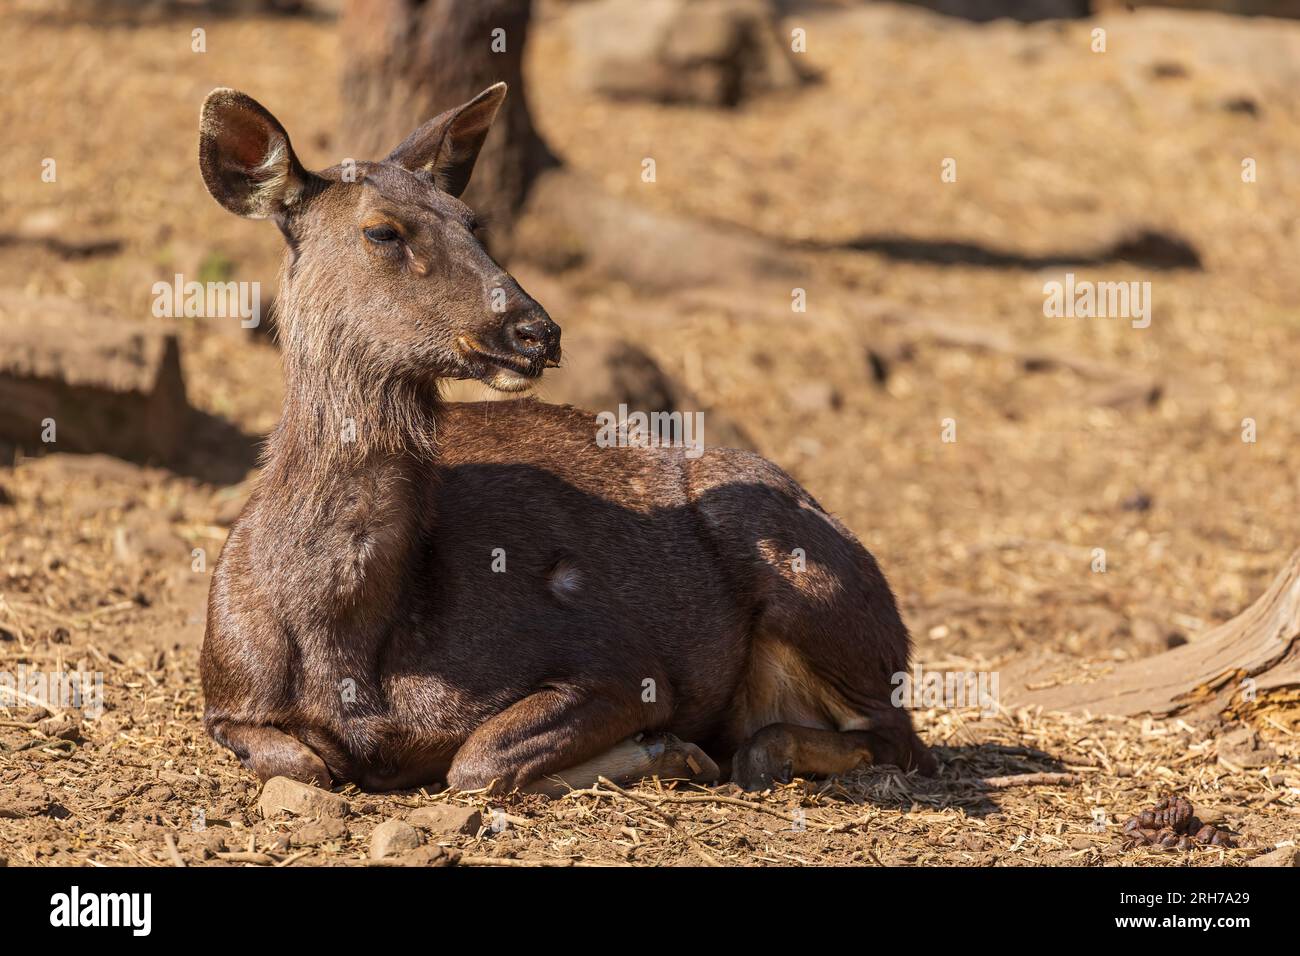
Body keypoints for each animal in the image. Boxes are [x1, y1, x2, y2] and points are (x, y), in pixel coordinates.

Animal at [197, 82, 937, 797]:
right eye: (382, 230)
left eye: (471, 221)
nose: (537, 331)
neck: (349, 646)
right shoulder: (224, 696)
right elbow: (299, 760)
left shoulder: (615, 663)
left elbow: (476, 761)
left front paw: (668, 750)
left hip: (814, 593)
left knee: (897, 737)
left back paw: (754, 753)